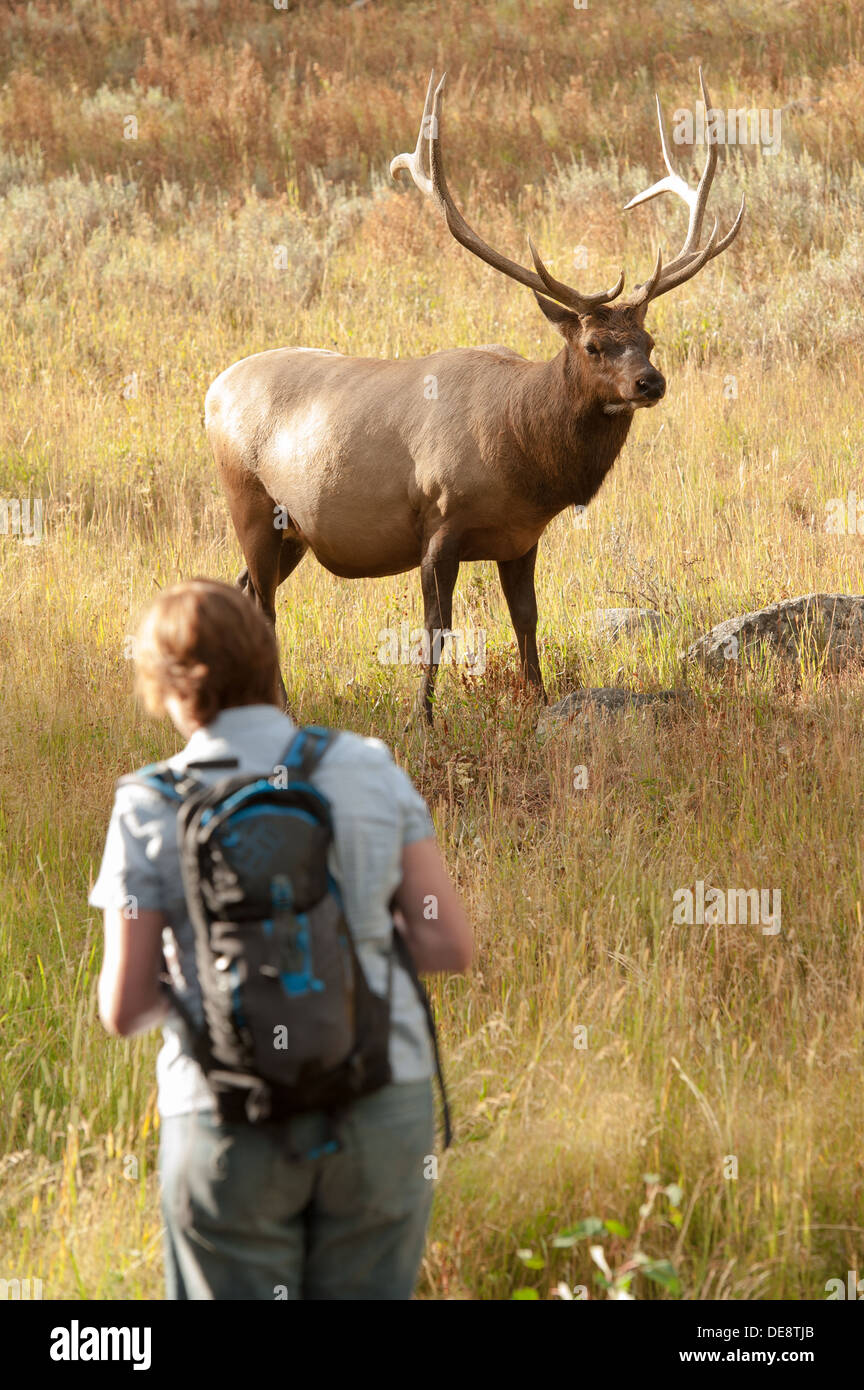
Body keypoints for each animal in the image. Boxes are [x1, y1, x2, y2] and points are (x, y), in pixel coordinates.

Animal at [205, 69, 743, 725]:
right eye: (594, 344)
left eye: (649, 339)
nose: (650, 382)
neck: (524, 458)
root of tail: (212, 389)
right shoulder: (440, 521)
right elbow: (437, 628)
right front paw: (423, 719)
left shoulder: (521, 539)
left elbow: (527, 621)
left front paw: (540, 702)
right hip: (250, 501)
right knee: (263, 604)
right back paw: (282, 708)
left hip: (294, 532)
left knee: (242, 589)